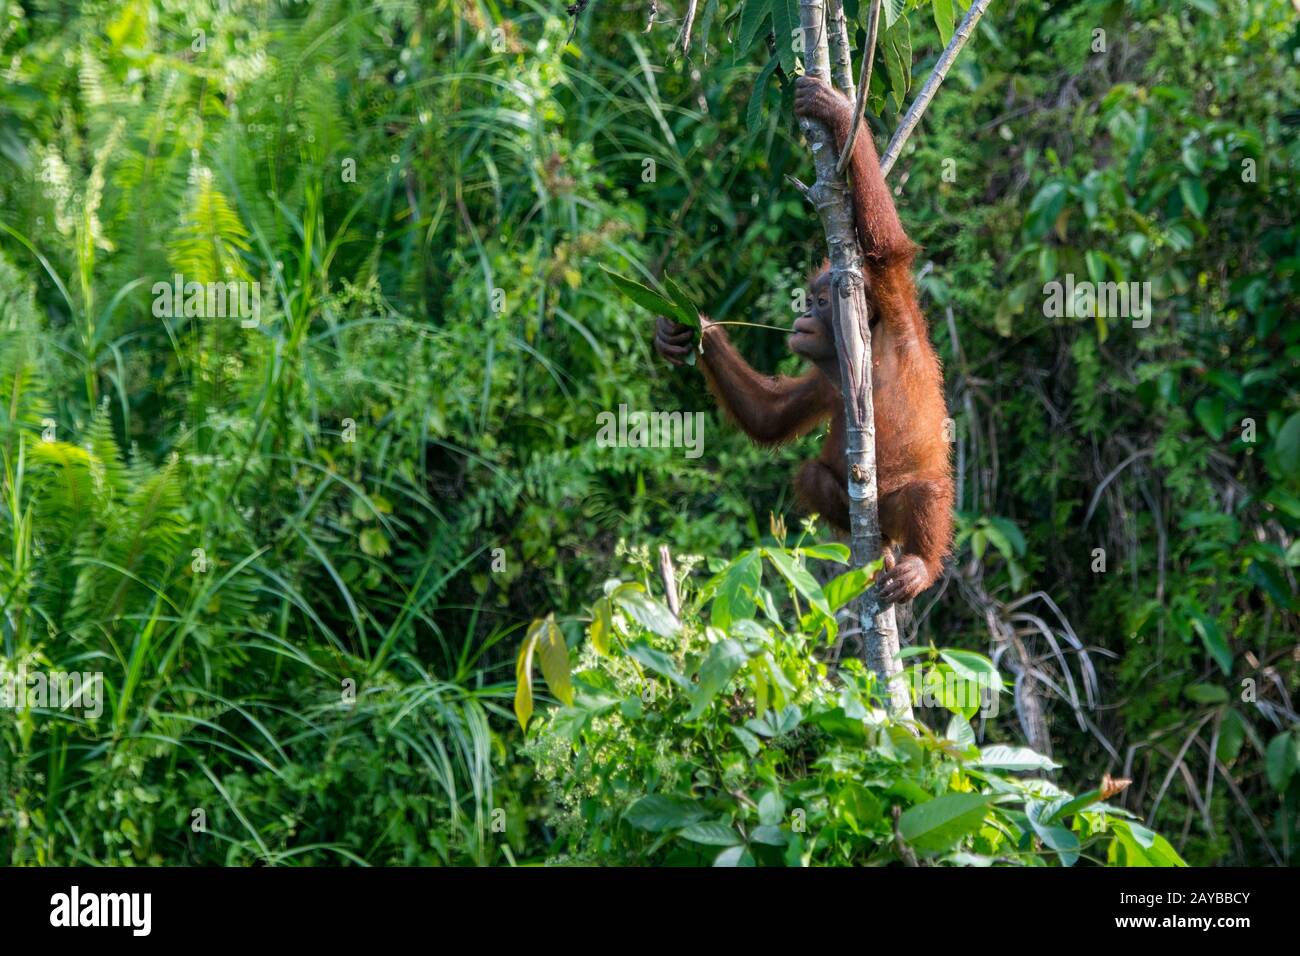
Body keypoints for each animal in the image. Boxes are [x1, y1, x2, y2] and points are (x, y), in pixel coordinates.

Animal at [654, 75, 953, 604]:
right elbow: (769, 416)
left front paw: (836, 111)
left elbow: (886, 246)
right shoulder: (823, 379)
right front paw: (685, 329)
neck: (864, 347)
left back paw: (919, 566)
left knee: (926, 491)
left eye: (820, 302)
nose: (803, 315)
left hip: (905, 505)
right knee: (812, 475)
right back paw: (879, 550)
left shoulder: (896, 310)